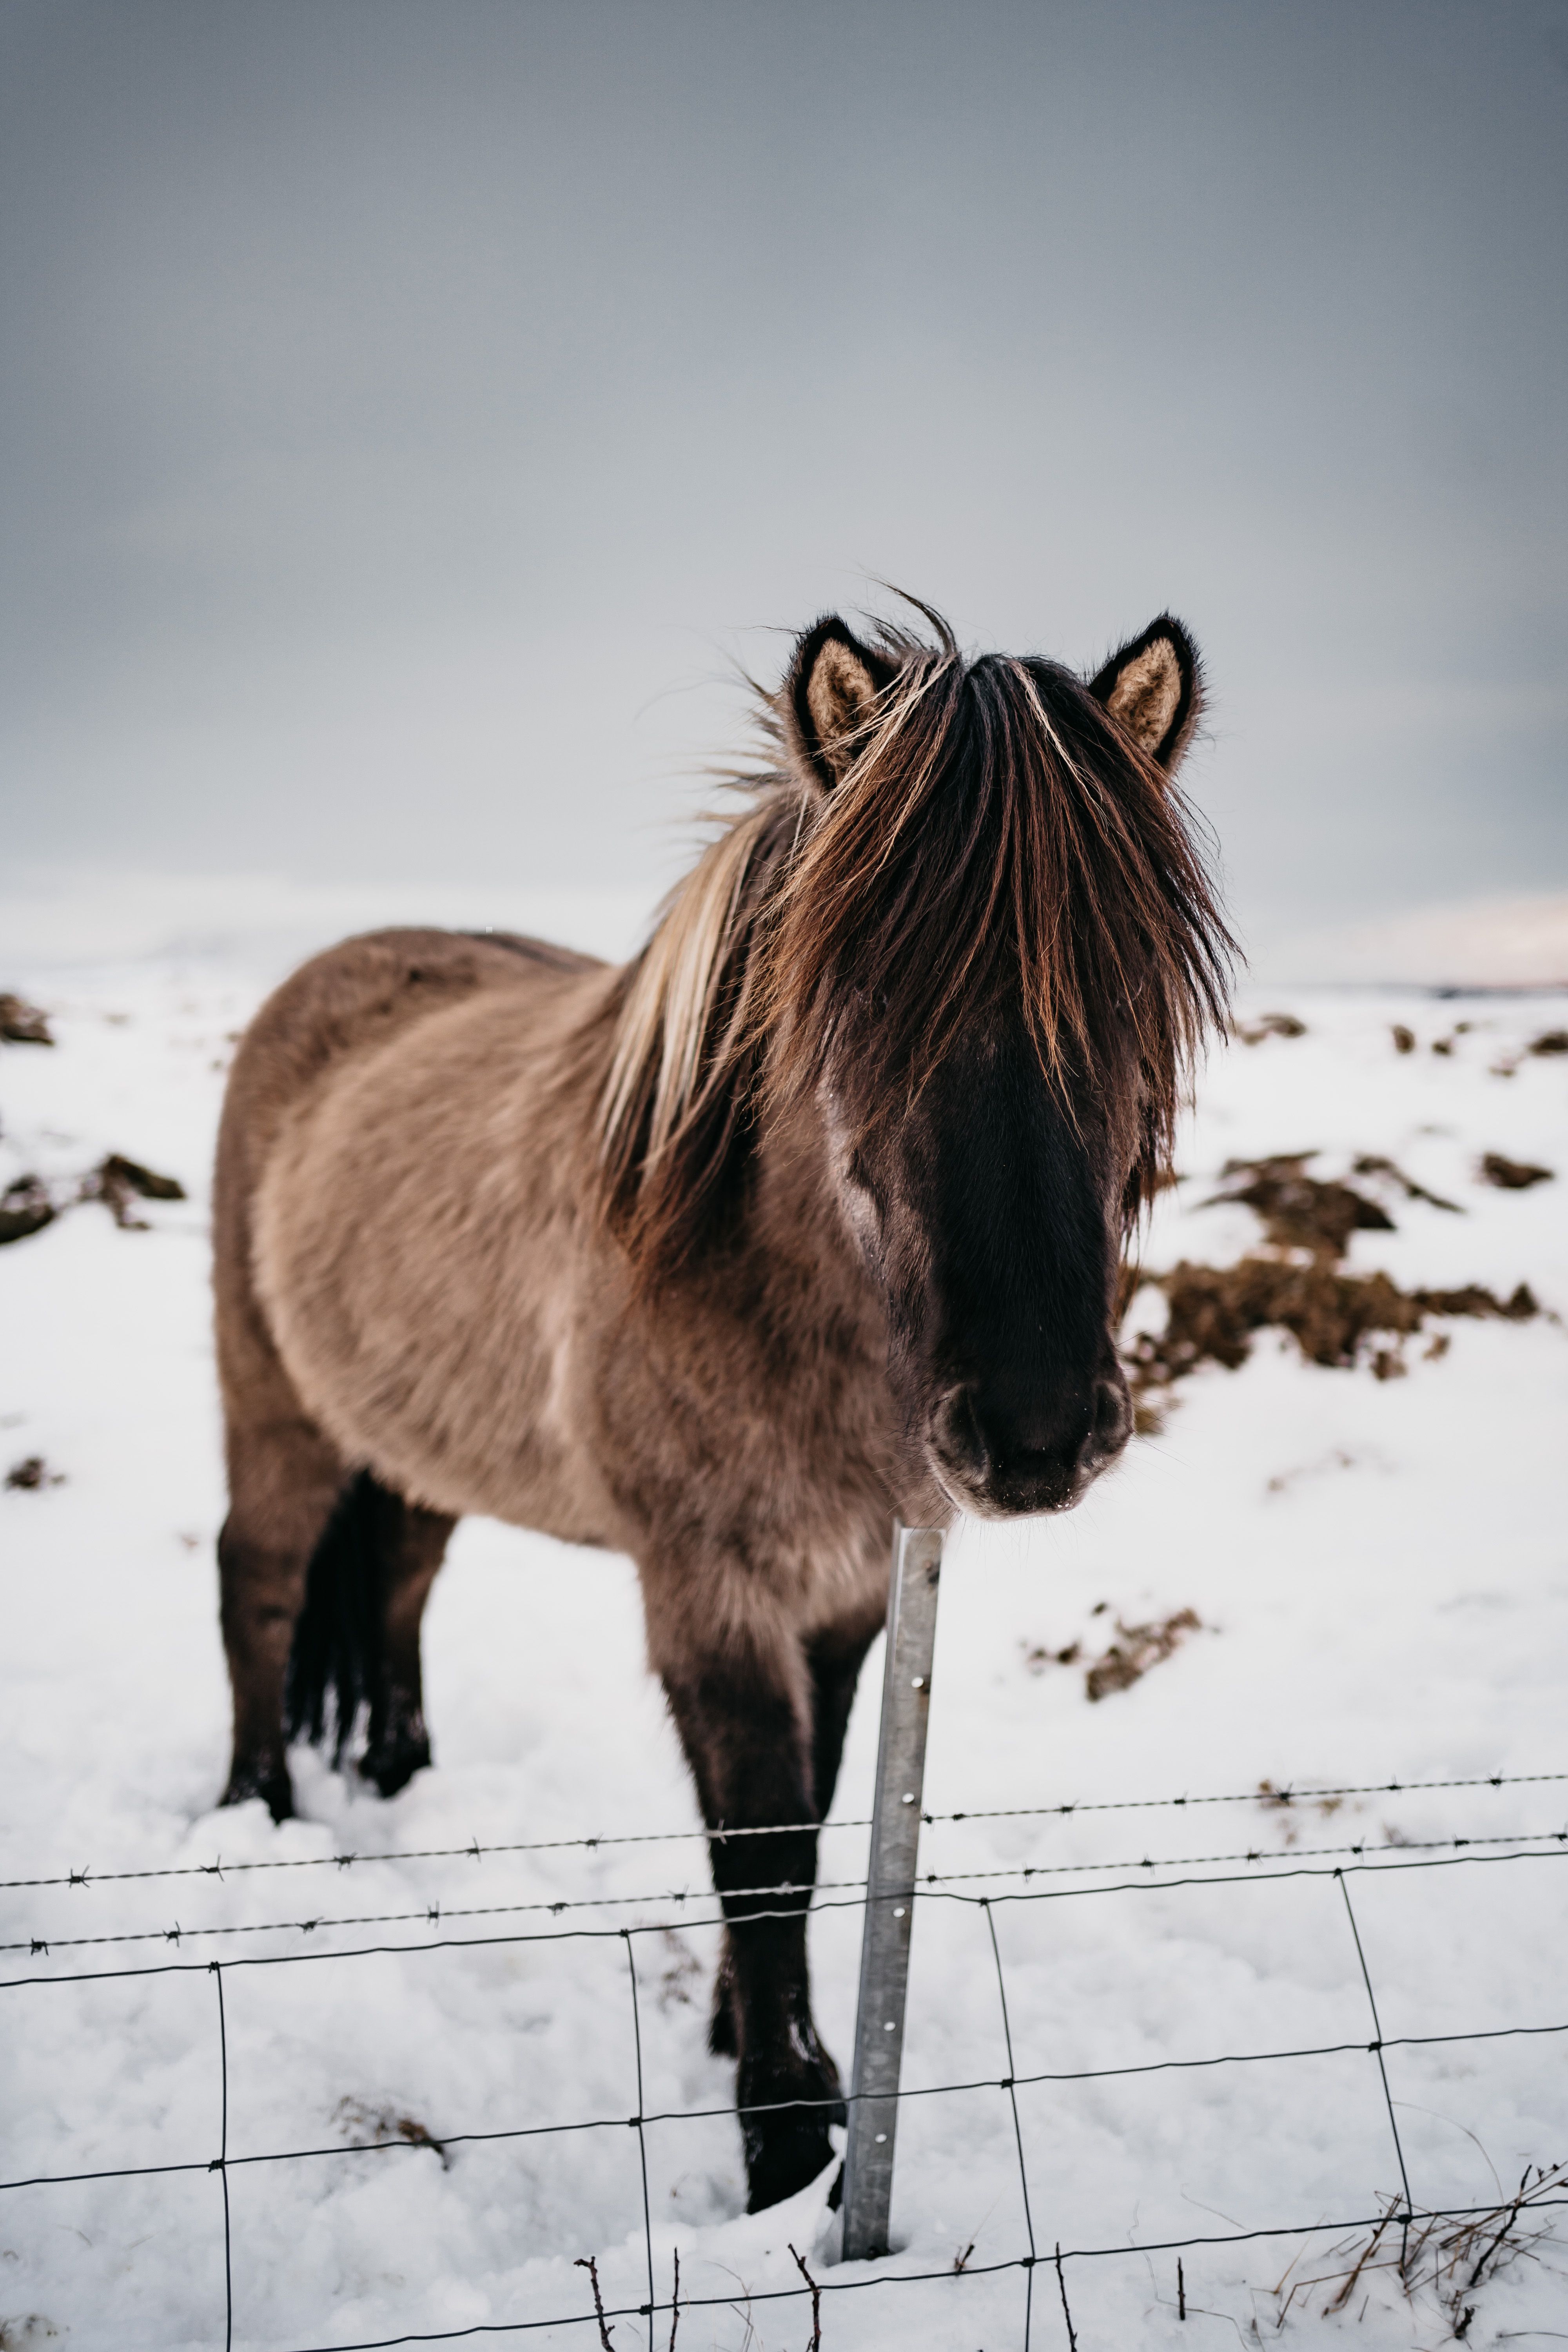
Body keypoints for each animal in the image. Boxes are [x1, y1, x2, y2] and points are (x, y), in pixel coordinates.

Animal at [212, 601, 1232, 2211]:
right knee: (253, 1581)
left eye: (1131, 988)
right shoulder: (712, 1587)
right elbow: (755, 1840)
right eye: (862, 997)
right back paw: (260, 1819)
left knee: (398, 1584)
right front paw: (785, 2138)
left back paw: (402, 1772)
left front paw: (753, 2036)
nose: (1032, 1430)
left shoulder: (847, 1589)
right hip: (275, 1404)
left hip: (418, 1449)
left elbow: (809, 1815)